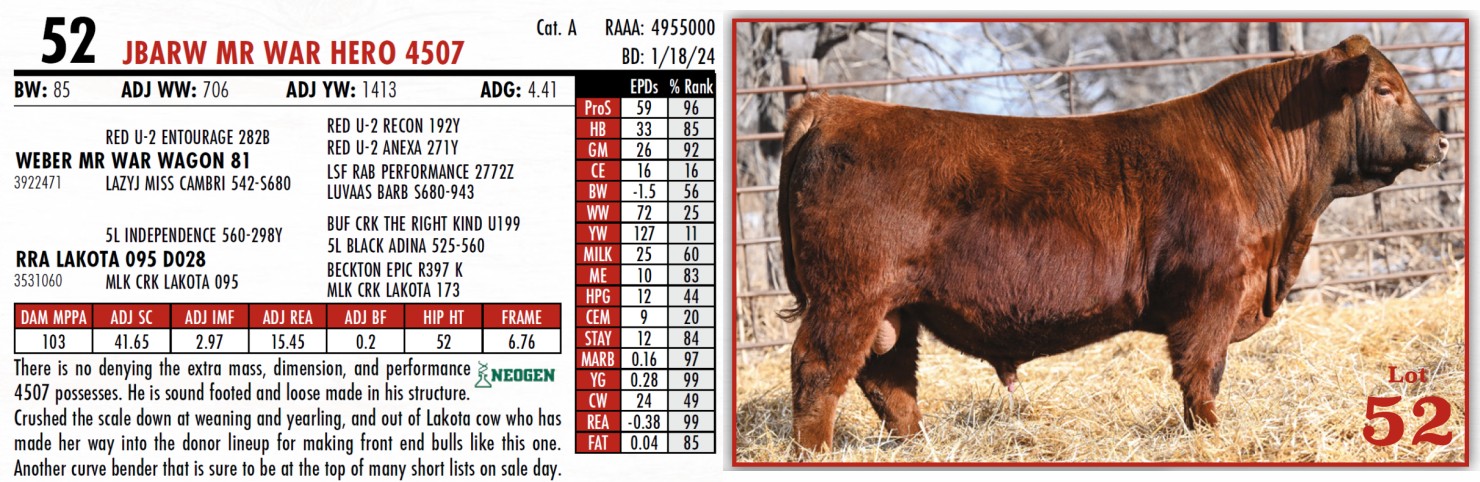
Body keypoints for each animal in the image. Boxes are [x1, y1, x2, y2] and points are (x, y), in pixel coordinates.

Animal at [777, 35, 1449, 452]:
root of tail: (831, 106)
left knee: (889, 381)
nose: (1442, 141)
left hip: (892, 307)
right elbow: (1202, 373)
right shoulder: (1211, 293)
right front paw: (1210, 435)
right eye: (1384, 89)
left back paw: (919, 448)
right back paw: (815, 454)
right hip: (849, 295)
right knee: (819, 372)